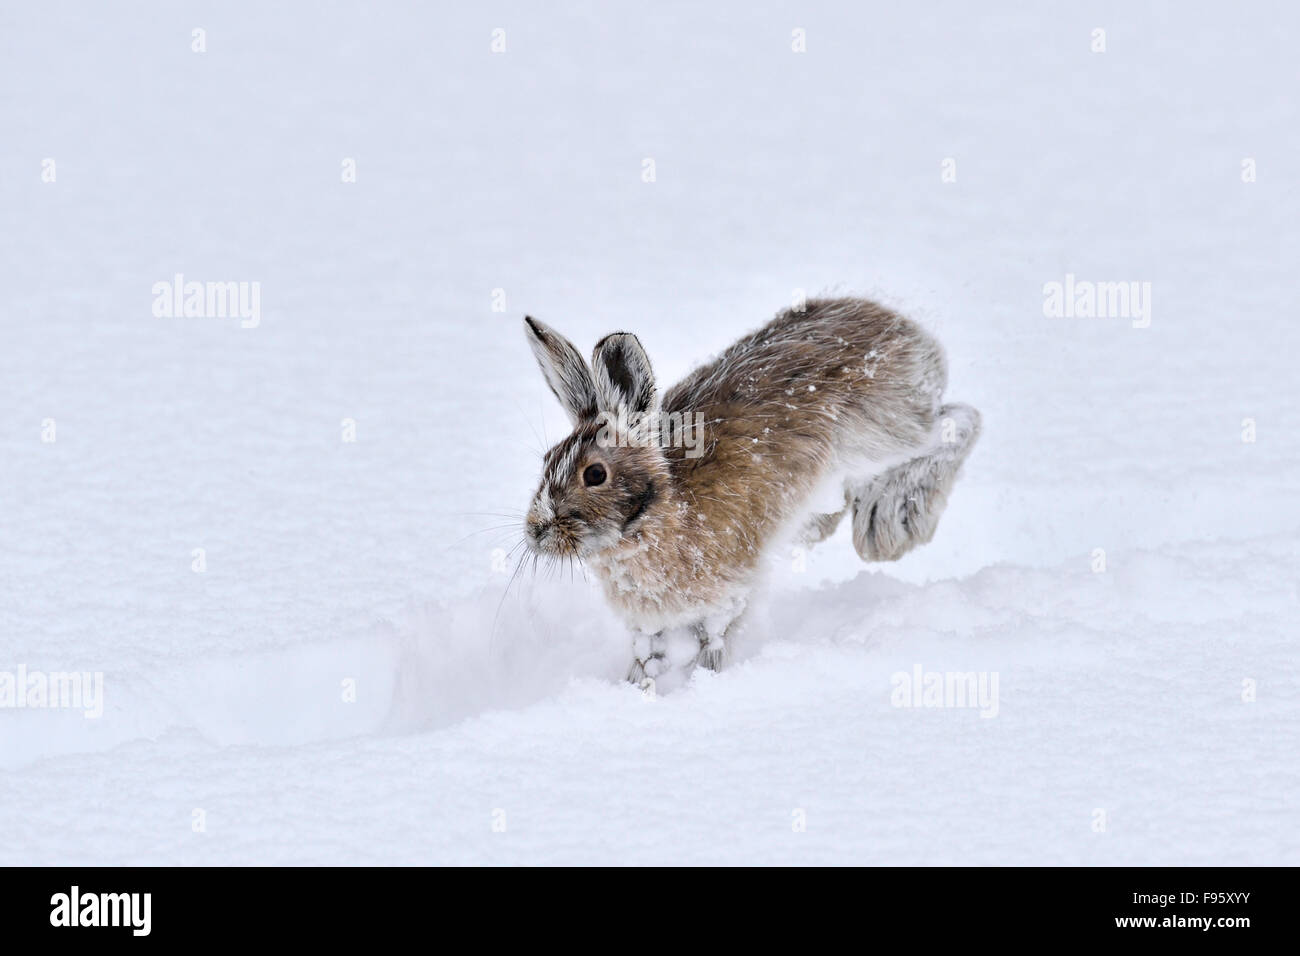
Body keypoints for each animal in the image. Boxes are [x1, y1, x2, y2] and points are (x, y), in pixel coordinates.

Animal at [522, 297, 980, 688]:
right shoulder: (650, 626)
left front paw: (700, 687)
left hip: (885, 436)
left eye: (595, 474)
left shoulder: (725, 603)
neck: (656, 515)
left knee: (961, 421)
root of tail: (906, 329)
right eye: (545, 461)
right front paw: (637, 691)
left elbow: (711, 649)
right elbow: (646, 660)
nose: (537, 531)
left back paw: (891, 523)